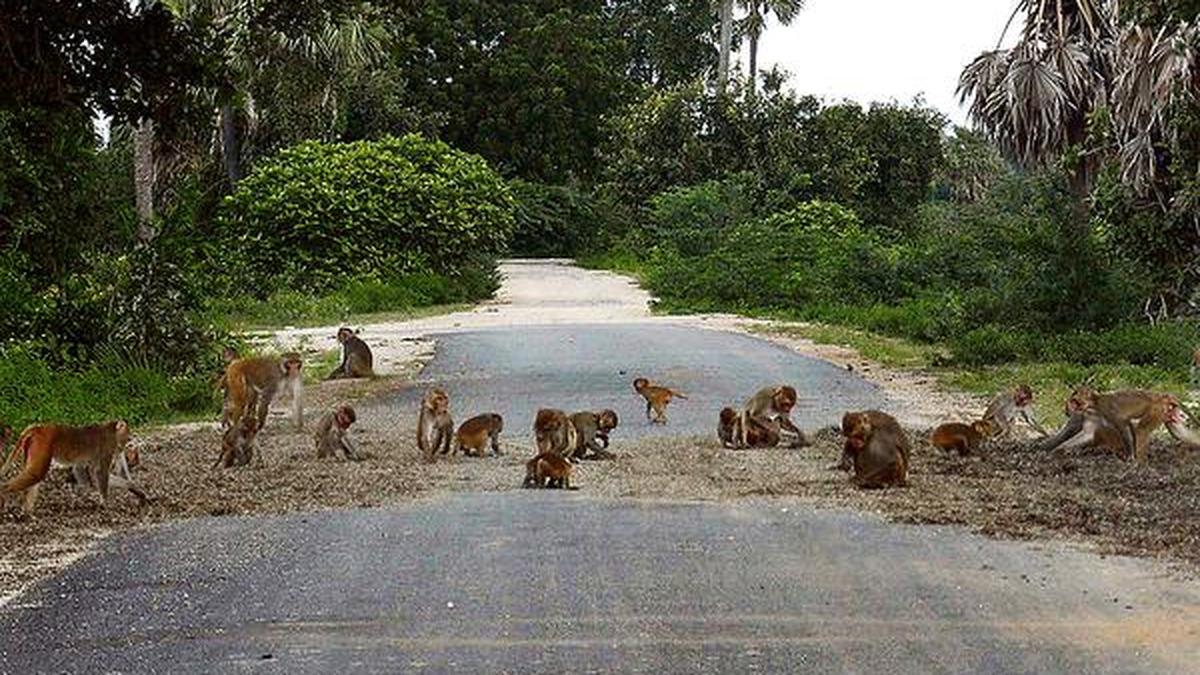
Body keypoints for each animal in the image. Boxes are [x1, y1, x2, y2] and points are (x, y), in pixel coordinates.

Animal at [1, 421, 147, 515]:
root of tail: (38, 428)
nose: (123, 447)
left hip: (32, 445)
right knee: (36, 473)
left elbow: (87, 473)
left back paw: (27, 512)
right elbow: (99, 473)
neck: (111, 430)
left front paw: (134, 488)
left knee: (35, 475)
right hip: (42, 444)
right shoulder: (107, 447)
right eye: (126, 437)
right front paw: (106, 504)